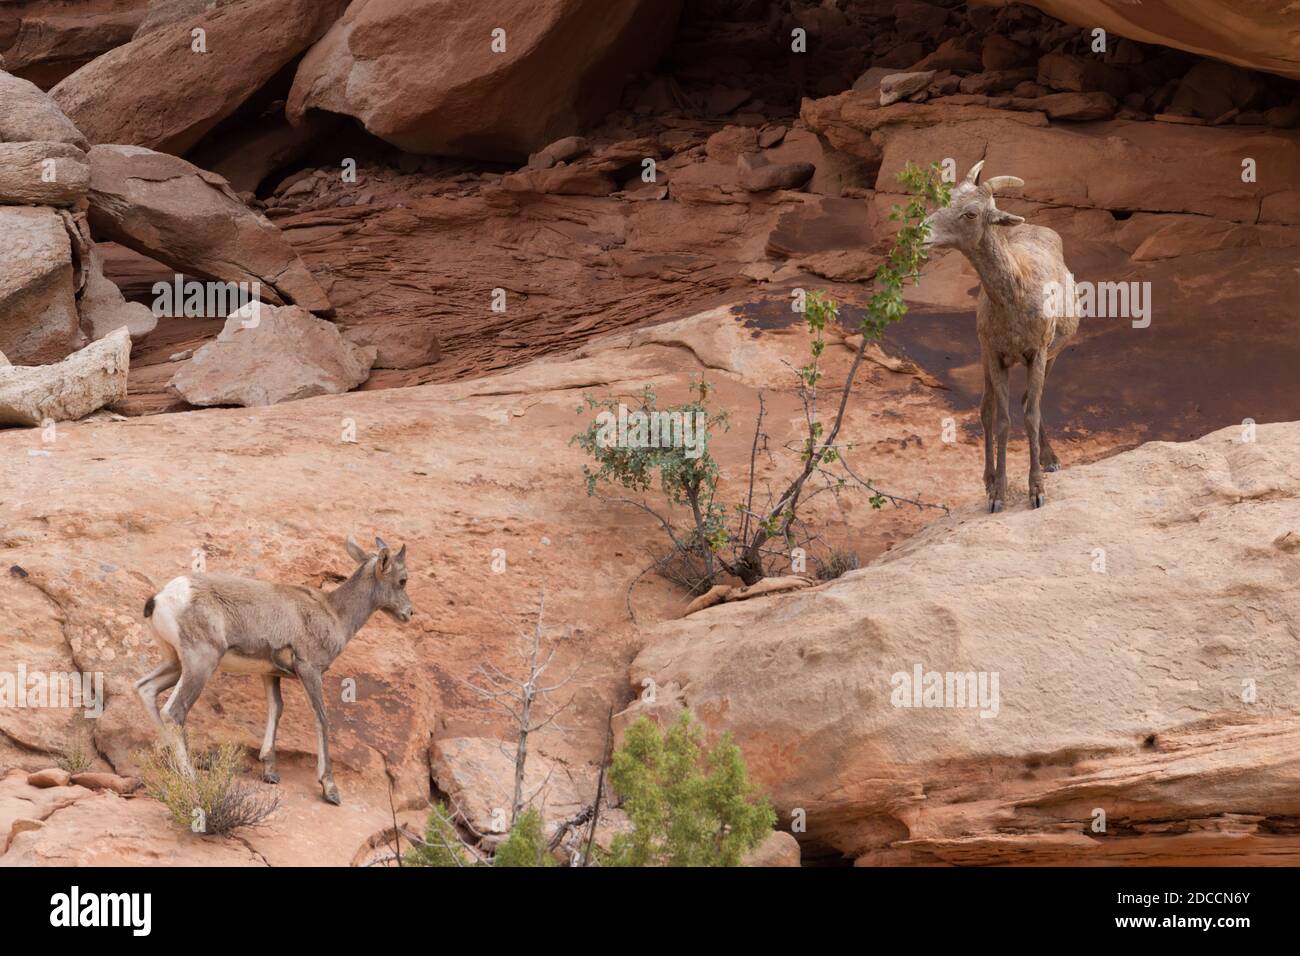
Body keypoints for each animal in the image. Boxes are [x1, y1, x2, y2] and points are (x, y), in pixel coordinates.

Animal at [137, 535, 413, 805]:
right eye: (403, 580)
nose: (409, 613)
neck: (335, 614)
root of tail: (161, 598)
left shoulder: (270, 674)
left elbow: (276, 709)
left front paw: (270, 772)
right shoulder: (309, 670)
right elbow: (321, 718)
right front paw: (330, 789)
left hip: (176, 663)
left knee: (145, 689)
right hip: (201, 663)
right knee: (174, 711)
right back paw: (191, 779)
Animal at [922, 160, 1079, 511]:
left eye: (970, 213)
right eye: (943, 202)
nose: (922, 236)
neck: (1015, 296)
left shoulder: (1037, 353)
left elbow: (1030, 414)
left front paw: (1037, 491)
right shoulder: (996, 355)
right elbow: (1003, 420)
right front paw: (997, 495)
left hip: (1053, 356)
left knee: (1030, 401)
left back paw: (1051, 460)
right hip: (984, 356)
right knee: (987, 410)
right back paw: (989, 479)